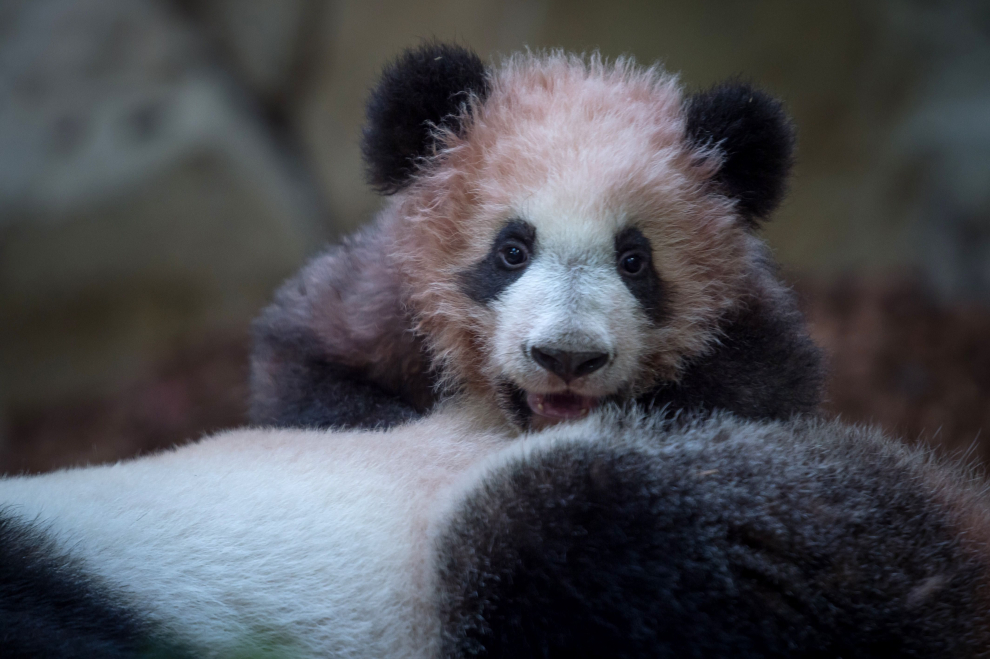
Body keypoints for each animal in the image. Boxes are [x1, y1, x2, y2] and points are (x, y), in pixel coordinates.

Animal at [250, 42, 823, 432]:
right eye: (512, 252)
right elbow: (300, 361)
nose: (567, 357)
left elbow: (764, 387)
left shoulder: (748, 320)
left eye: (634, 261)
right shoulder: (387, 297)